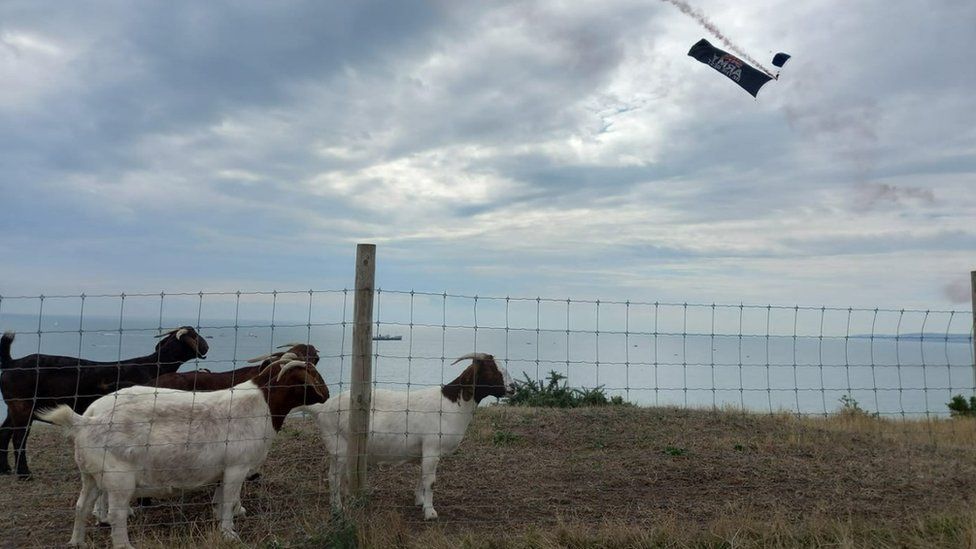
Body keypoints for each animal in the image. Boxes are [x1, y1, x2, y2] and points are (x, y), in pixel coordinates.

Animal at [0, 327, 208, 479]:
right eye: (195, 336)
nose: (206, 347)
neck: (152, 366)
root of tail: (12, 363)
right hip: (22, 406)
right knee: (19, 437)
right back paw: (24, 473)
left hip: (13, 407)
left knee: (5, 431)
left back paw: (5, 469)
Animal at [39, 356, 329, 548]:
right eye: (312, 376)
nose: (326, 395)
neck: (262, 405)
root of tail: (84, 421)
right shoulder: (236, 467)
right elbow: (228, 499)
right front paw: (229, 534)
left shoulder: (223, 470)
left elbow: (220, 499)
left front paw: (223, 519)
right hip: (118, 477)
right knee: (116, 514)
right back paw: (123, 543)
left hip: (90, 473)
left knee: (82, 506)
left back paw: (76, 542)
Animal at [305, 352, 514, 520]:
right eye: (493, 370)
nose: (513, 387)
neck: (451, 404)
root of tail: (322, 409)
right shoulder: (431, 448)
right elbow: (430, 481)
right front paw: (430, 512)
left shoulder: (425, 452)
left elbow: (422, 477)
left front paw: (419, 501)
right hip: (338, 446)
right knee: (333, 477)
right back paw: (337, 508)